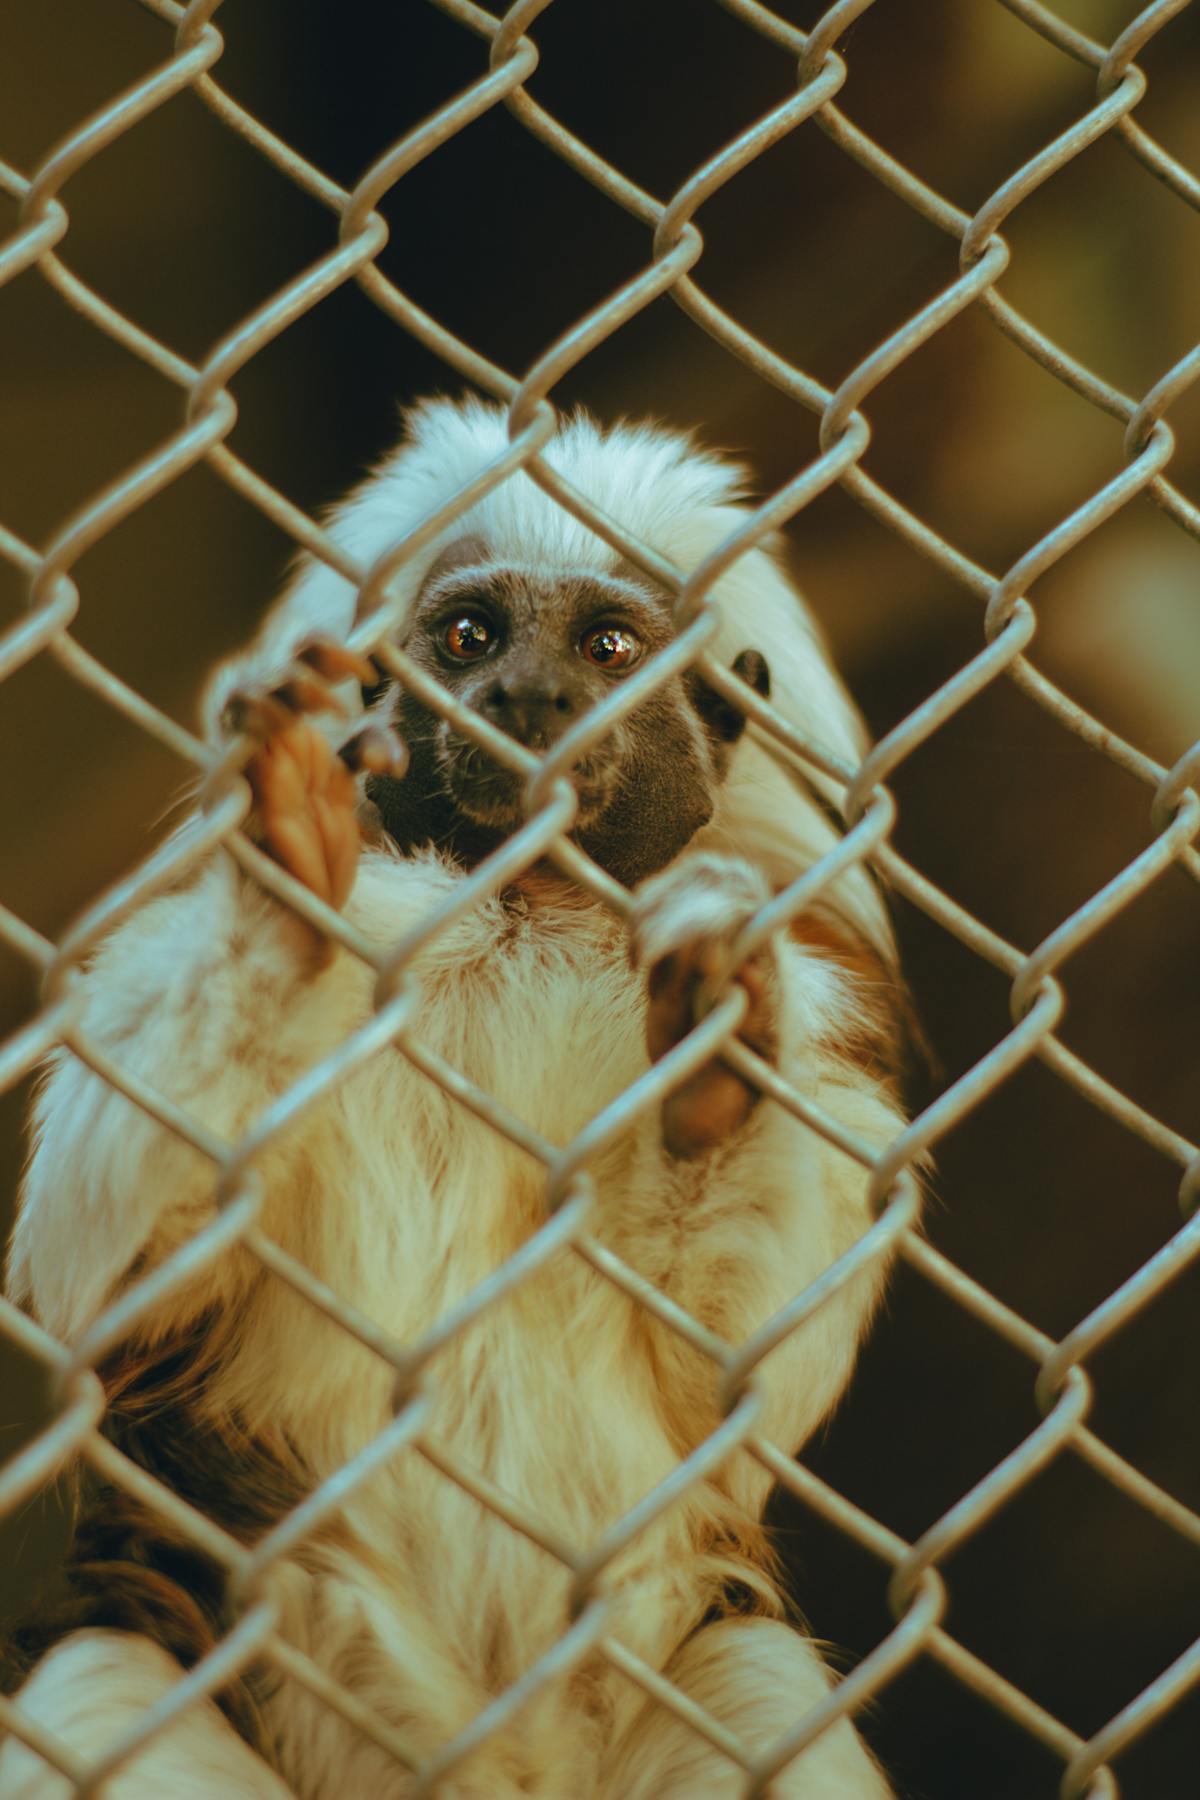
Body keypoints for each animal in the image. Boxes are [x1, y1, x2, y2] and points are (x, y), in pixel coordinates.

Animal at [1, 398, 908, 1798]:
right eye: (471, 635)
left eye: (607, 645)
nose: (529, 698)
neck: (523, 904)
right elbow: (110, 1276)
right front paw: (288, 891)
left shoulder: (825, 1004)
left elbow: (740, 1374)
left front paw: (713, 1066)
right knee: (115, 1684)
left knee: (753, 1683)